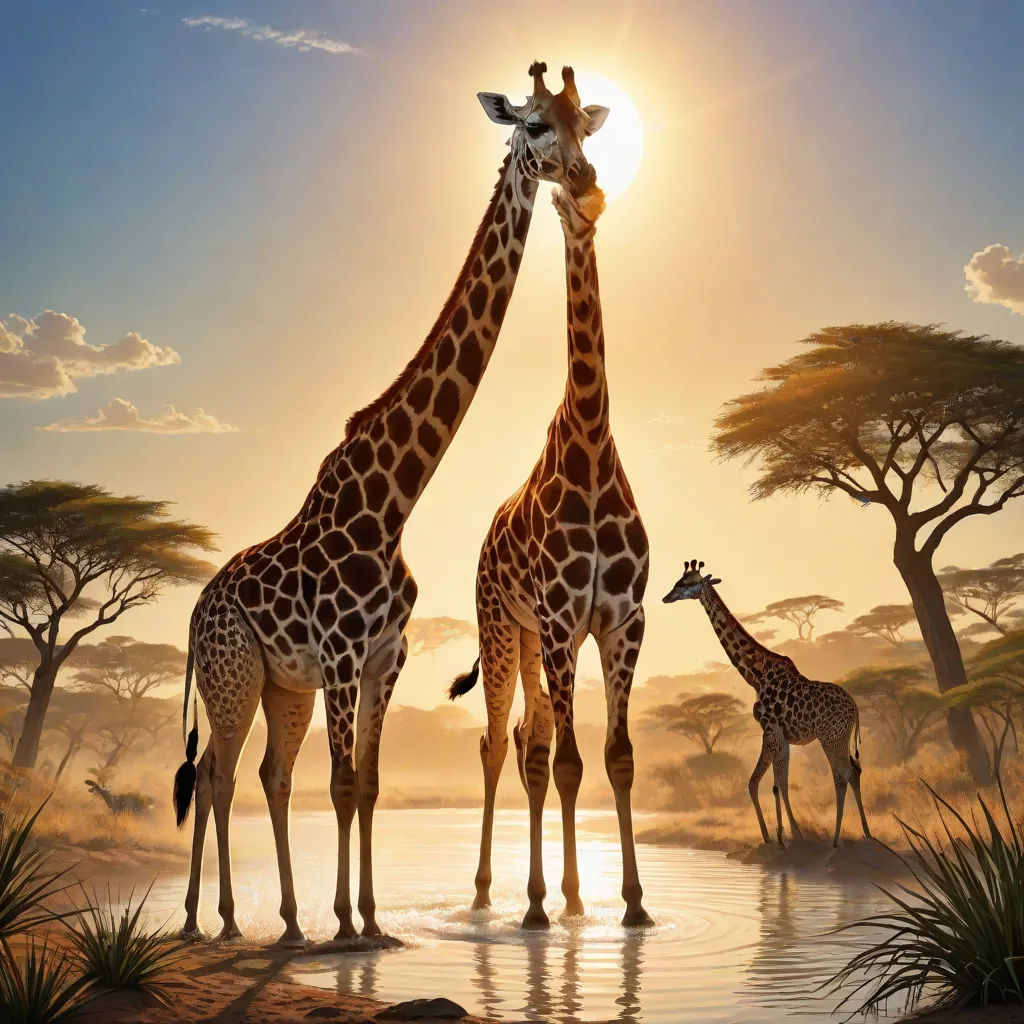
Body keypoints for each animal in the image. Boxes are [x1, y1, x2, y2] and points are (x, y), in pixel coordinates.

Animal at [170, 61, 611, 946]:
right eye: (536, 124)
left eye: (585, 121)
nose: (582, 179)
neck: (392, 500)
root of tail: (195, 611)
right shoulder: (342, 655)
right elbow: (342, 784)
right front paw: (346, 927)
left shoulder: (383, 658)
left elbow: (365, 784)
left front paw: (369, 921)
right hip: (233, 675)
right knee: (213, 776)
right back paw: (215, 920)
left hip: (281, 685)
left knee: (263, 775)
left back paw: (282, 922)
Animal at [663, 560, 871, 849]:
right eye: (678, 580)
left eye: (686, 582)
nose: (666, 597)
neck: (755, 674)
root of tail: (855, 707)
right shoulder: (772, 733)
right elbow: (759, 782)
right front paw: (773, 835)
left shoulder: (772, 730)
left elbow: (777, 784)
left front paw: (789, 836)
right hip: (836, 738)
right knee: (853, 772)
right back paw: (862, 834)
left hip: (832, 737)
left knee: (845, 776)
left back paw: (840, 839)